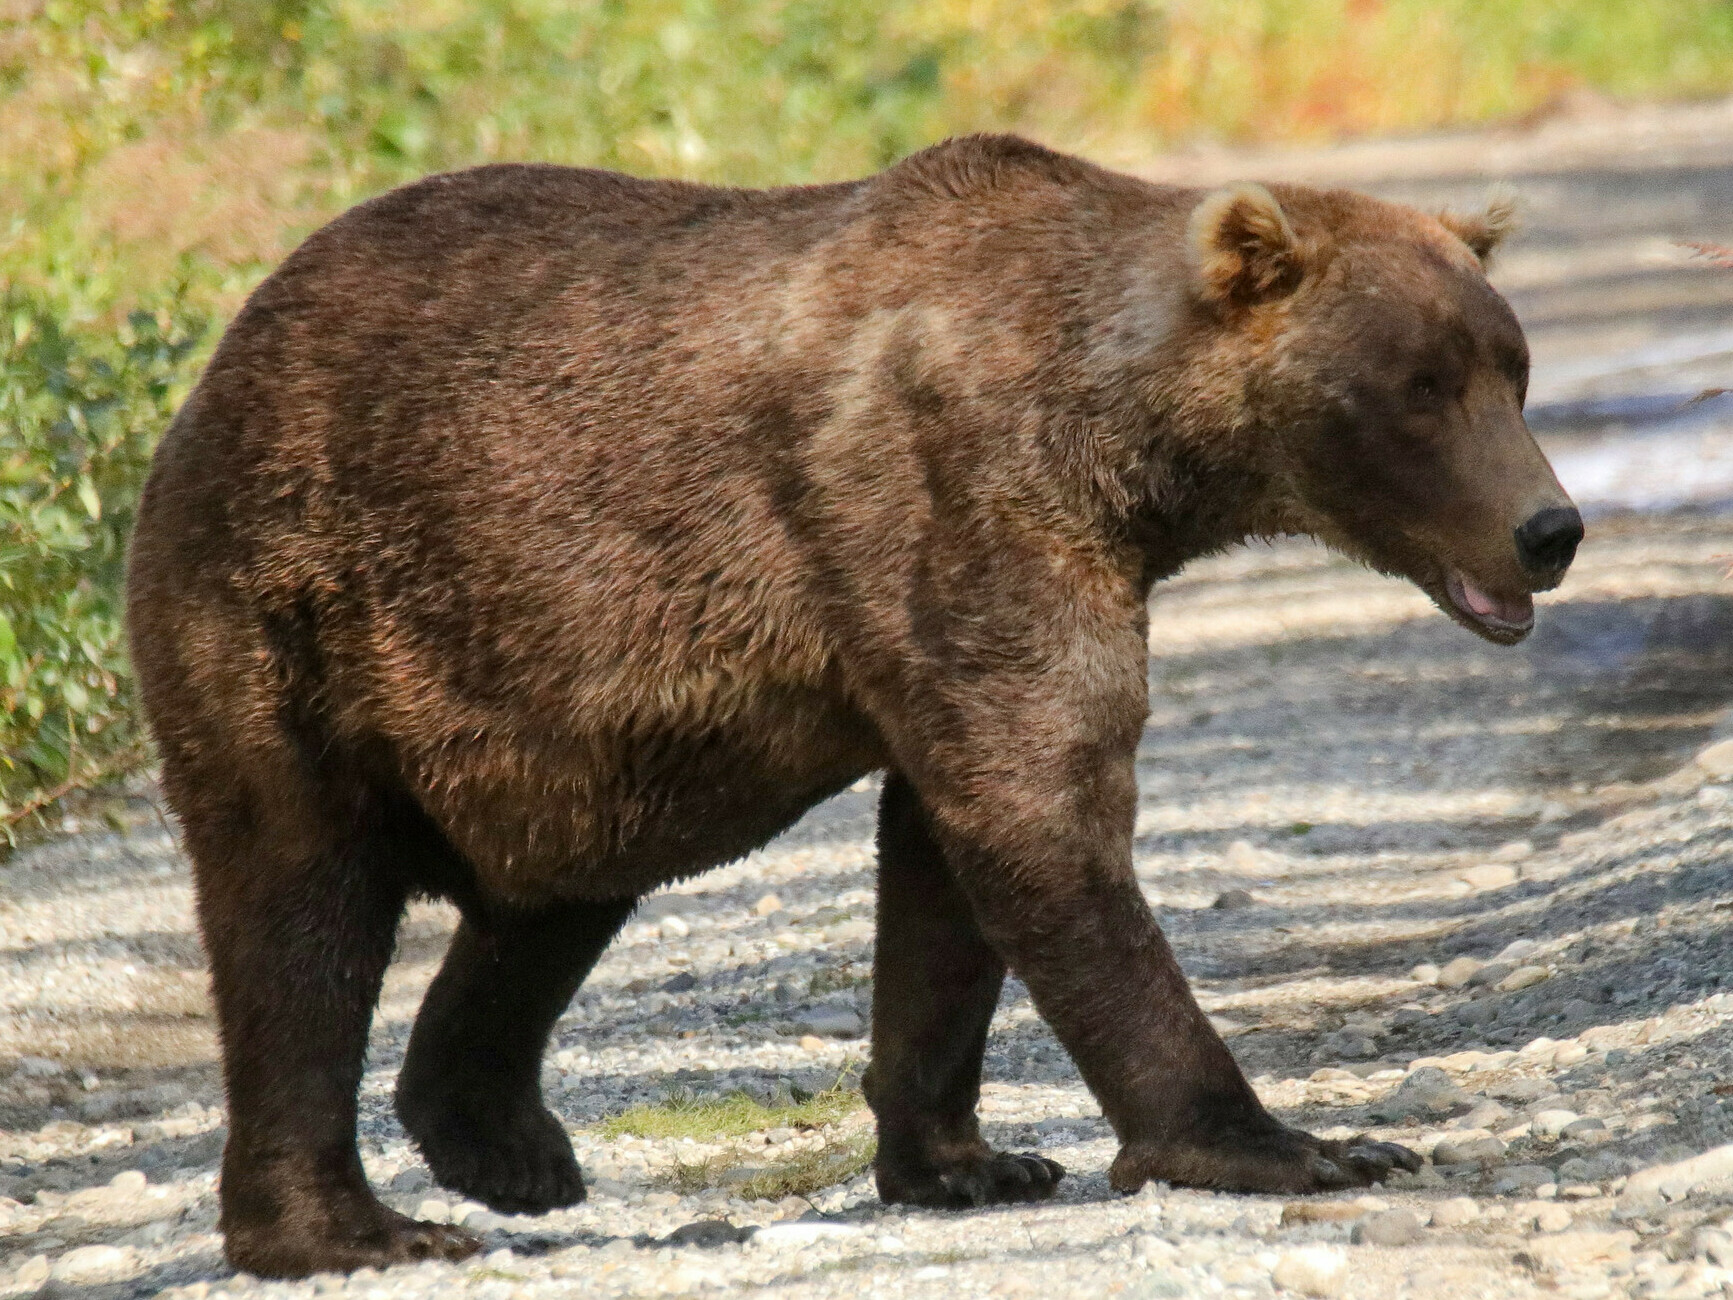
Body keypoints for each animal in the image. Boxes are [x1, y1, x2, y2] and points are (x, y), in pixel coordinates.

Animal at [126, 134, 1583, 1278]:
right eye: (1416, 386)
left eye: (1509, 367)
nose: (1549, 528)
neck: (1114, 443)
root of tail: (218, 364)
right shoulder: (960, 501)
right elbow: (1044, 807)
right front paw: (1294, 1142)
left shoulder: (972, 588)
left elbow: (946, 864)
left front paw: (966, 1158)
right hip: (299, 611)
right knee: (296, 910)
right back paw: (350, 1226)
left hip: (552, 717)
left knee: (552, 894)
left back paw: (505, 1144)